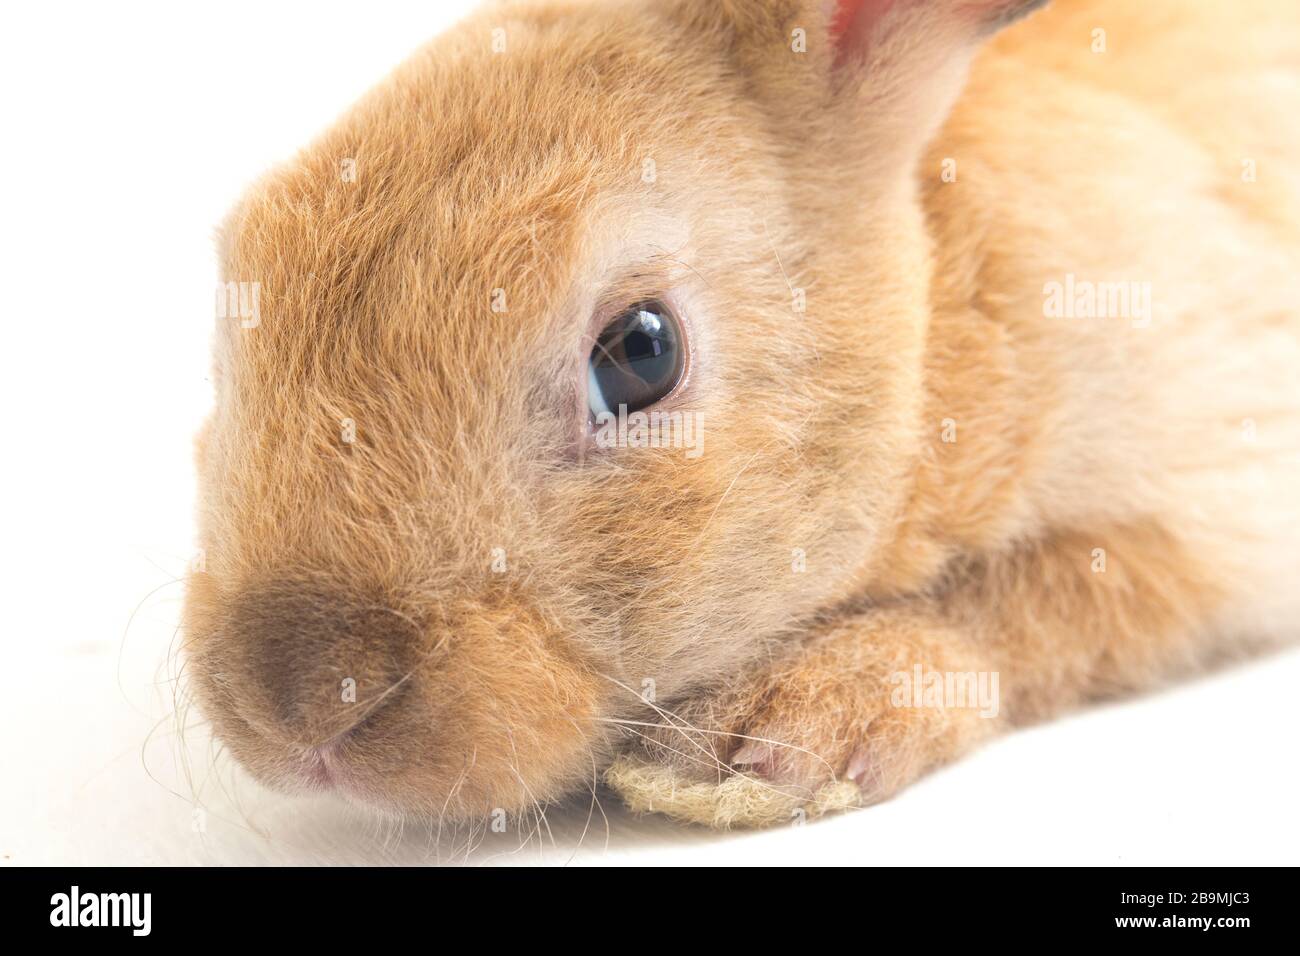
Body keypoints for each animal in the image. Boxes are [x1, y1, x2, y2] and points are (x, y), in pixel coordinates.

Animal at [186, 0, 1300, 829]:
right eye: (251, 258)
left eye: (640, 355)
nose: (295, 705)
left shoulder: (1213, 497)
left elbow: (1044, 600)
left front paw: (782, 727)